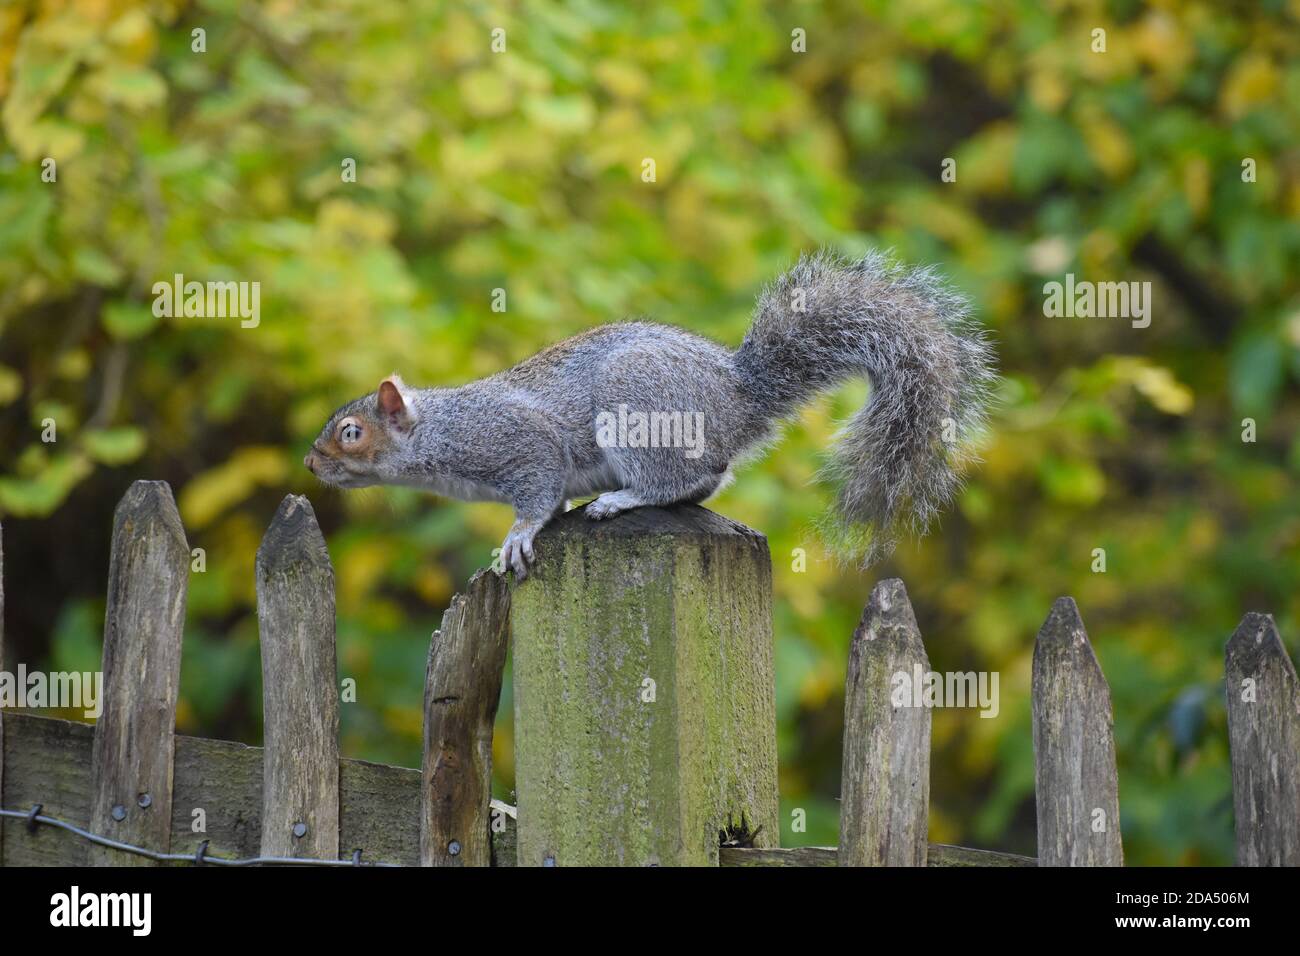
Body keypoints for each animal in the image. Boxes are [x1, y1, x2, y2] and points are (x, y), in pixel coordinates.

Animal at [304, 251, 996, 577]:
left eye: (350, 432)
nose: (311, 462)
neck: (440, 430)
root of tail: (737, 396)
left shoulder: (518, 442)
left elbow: (538, 491)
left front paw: (518, 536)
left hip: (637, 409)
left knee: (683, 479)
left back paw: (622, 499)